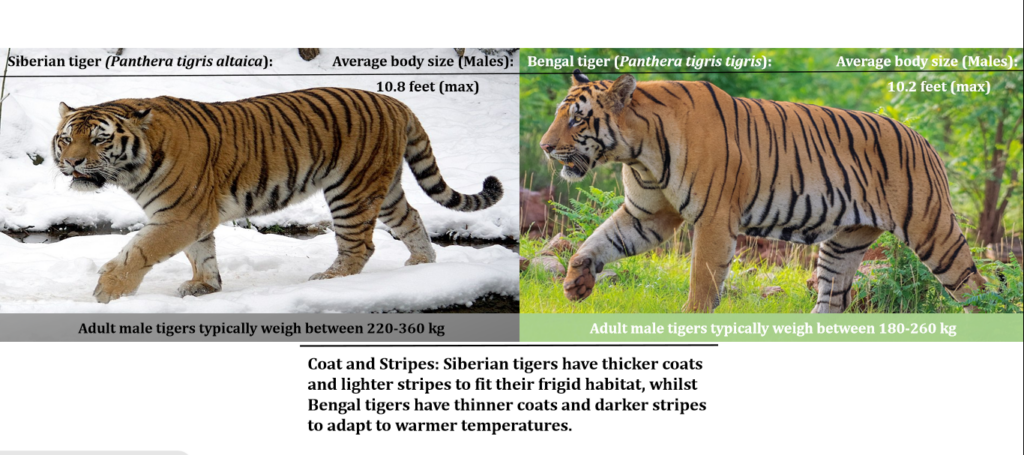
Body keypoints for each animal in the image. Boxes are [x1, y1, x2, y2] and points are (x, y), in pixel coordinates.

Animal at [52, 87, 503, 303]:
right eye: (66, 138)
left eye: (99, 139)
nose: (72, 163)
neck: (133, 168)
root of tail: (394, 101)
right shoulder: (192, 217)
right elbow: (201, 253)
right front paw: (204, 287)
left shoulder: (180, 215)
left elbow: (138, 251)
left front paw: (108, 292)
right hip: (383, 186)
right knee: (411, 218)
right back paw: (421, 264)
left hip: (351, 189)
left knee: (360, 244)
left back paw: (330, 278)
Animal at [539, 69, 985, 313]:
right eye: (562, 115)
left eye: (577, 120)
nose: (544, 146)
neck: (638, 152)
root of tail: (922, 138)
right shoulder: (647, 214)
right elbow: (600, 240)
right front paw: (576, 282)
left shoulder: (713, 219)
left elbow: (702, 281)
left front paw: (691, 316)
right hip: (844, 244)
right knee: (832, 301)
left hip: (933, 232)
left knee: (977, 290)